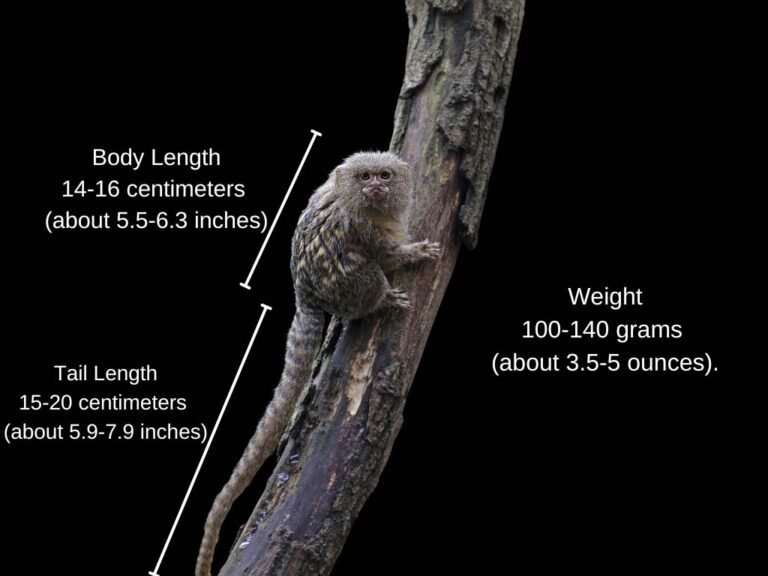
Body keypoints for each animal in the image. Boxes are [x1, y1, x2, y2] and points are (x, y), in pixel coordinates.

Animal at [196, 151, 440, 576]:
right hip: (351, 286)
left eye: (384, 176)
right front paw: (415, 254)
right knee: (369, 276)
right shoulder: (364, 228)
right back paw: (382, 300)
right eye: (365, 177)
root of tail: (304, 292)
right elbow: (387, 255)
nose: (376, 189)